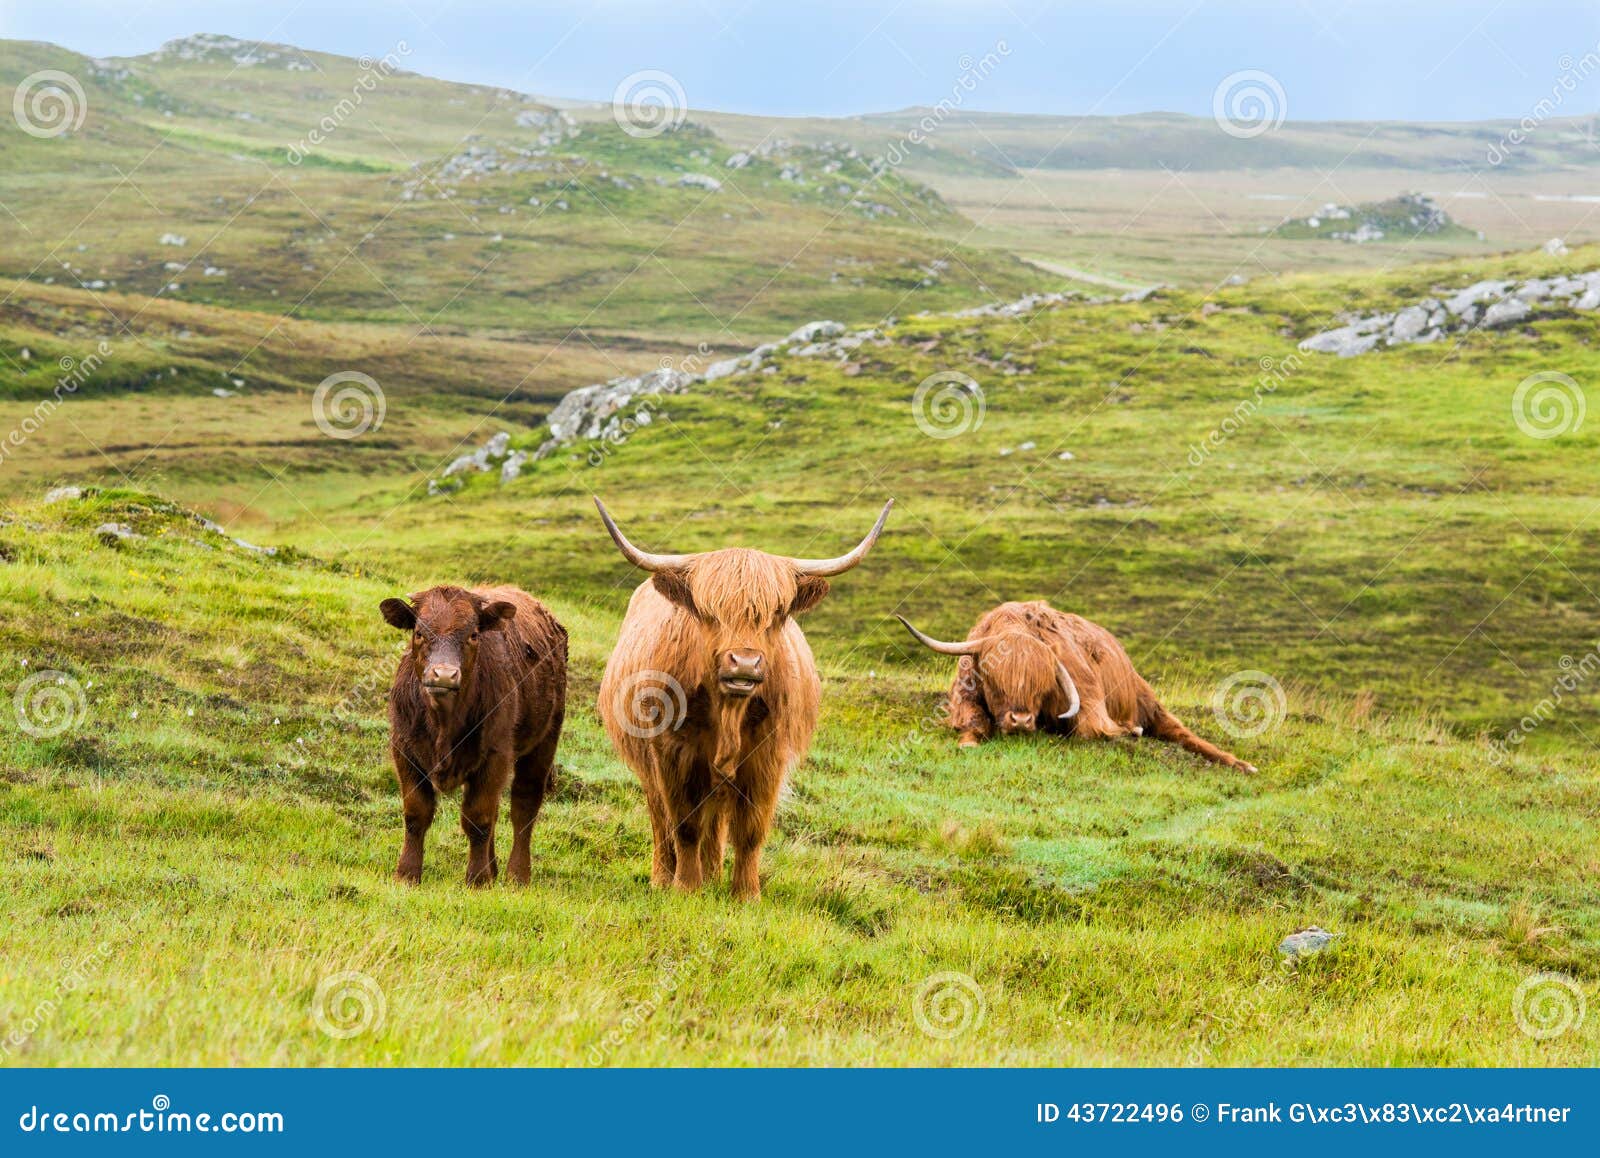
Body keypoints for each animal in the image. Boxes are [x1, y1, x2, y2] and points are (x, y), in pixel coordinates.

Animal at [380, 584, 568, 886]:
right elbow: (416, 812)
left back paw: (517, 876)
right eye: (419, 632)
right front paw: (407, 874)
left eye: (473, 635)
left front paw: (477, 879)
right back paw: (494, 870)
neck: (443, 724)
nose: (444, 675)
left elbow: (478, 817)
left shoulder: (495, 755)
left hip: (544, 742)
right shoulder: (405, 751)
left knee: (524, 806)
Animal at [594, 497, 892, 900]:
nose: (745, 663)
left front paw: (746, 894)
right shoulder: (673, 754)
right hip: (648, 765)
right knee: (662, 821)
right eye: (709, 612)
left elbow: (750, 831)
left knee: (715, 825)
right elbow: (684, 824)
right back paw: (665, 878)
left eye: (777, 613)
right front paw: (686, 888)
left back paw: (712, 876)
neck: (728, 714)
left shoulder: (767, 757)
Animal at [896, 600, 1257, 772]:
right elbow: (971, 724)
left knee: (1181, 733)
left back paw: (1243, 765)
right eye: (995, 683)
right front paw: (969, 741)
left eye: (1041, 687)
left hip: (1149, 703)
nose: (1021, 721)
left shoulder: (1090, 707)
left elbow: (1092, 730)